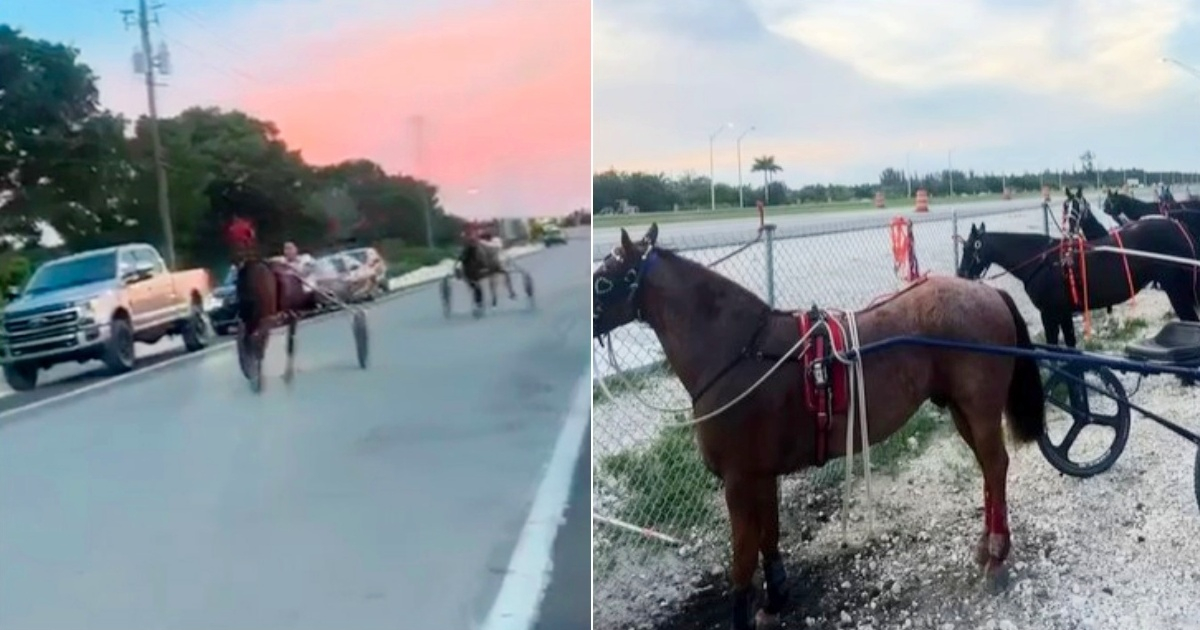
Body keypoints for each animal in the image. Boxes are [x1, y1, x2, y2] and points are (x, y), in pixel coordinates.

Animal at [227, 218, 320, 391]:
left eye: (242, 231)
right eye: (233, 232)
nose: (236, 263)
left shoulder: (259, 317)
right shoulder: (257, 317)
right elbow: (253, 343)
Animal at [593, 223, 1046, 630]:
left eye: (602, 282)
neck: (743, 351)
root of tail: (987, 292)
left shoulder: (739, 480)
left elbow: (742, 558)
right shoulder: (761, 475)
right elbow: (769, 537)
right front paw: (775, 600)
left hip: (980, 410)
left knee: (996, 466)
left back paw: (997, 555)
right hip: (961, 411)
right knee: (987, 469)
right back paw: (987, 545)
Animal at [956, 220, 1200, 348]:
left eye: (968, 249)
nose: (960, 273)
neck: (1043, 260)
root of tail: (1179, 228)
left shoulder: (1050, 313)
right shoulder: (1063, 312)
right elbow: (1070, 344)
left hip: (1177, 290)